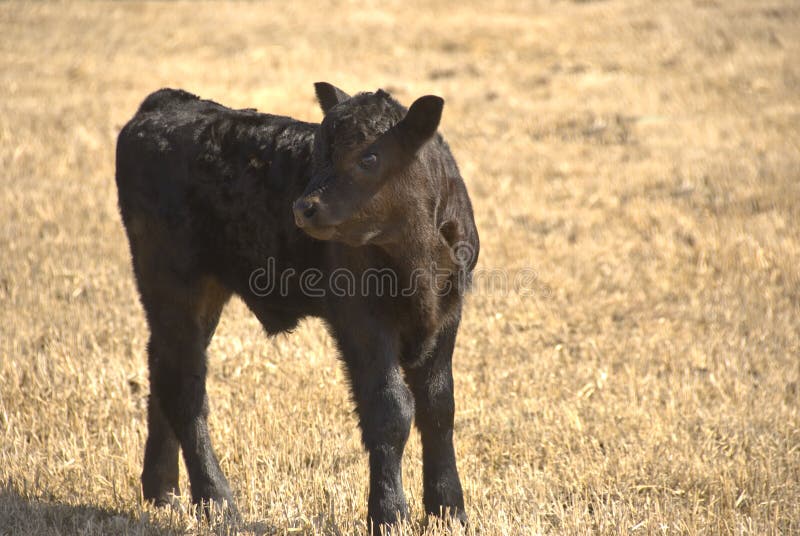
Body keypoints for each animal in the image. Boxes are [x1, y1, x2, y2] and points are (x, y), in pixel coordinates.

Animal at [115, 82, 479, 532]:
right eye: (318, 152)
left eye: (369, 157)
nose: (304, 207)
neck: (417, 255)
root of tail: (164, 103)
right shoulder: (361, 319)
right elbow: (391, 409)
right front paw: (388, 514)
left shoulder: (446, 315)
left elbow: (439, 407)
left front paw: (450, 511)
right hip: (172, 283)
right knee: (184, 387)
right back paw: (217, 502)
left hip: (197, 297)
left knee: (162, 369)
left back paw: (162, 491)